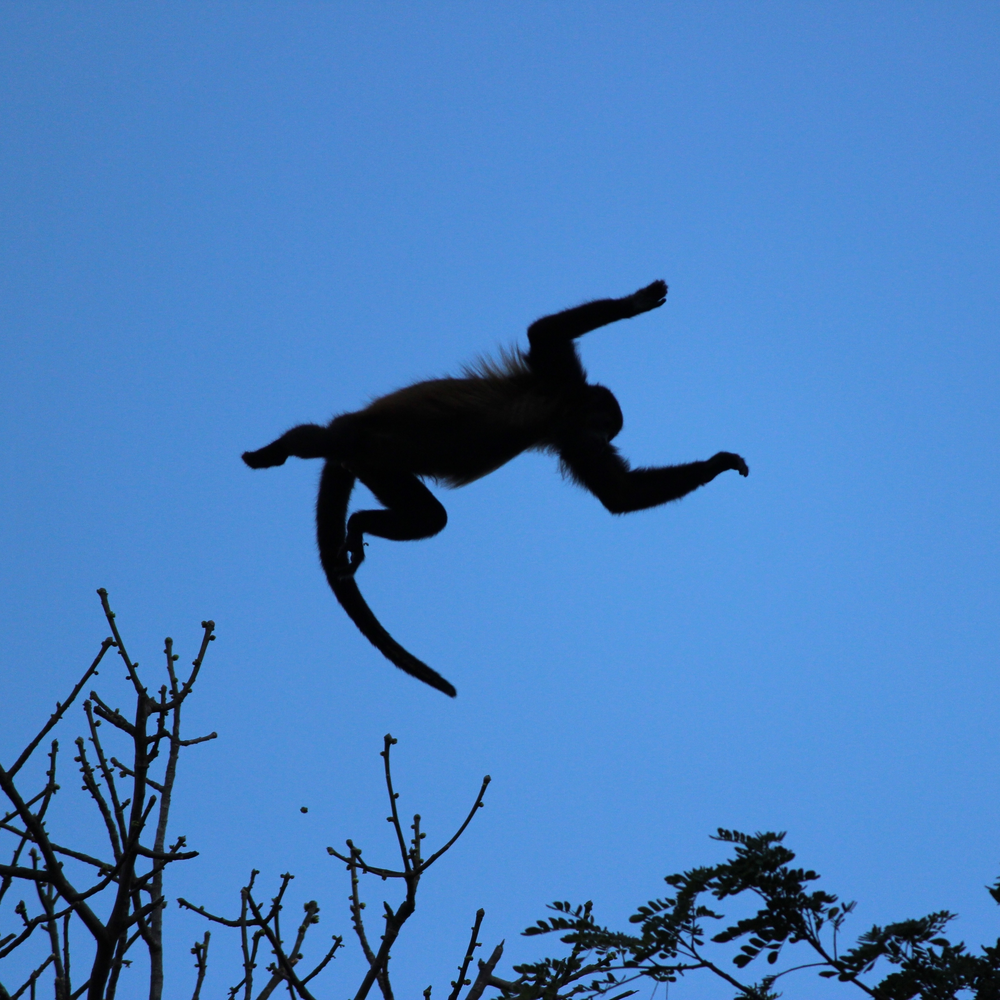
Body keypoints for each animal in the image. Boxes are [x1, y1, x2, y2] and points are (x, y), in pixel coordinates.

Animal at [244, 282, 752, 700]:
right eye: (606, 425)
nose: (605, 437)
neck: (564, 407)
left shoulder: (572, 437)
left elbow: (618, 493)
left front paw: (716, 465)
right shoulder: (559, 376)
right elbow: (544, 331)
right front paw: (638, 302)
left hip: (378, 467)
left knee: (429, 518)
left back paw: (358, 523)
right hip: (361, 440)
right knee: (326, 439)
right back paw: (285, 447)